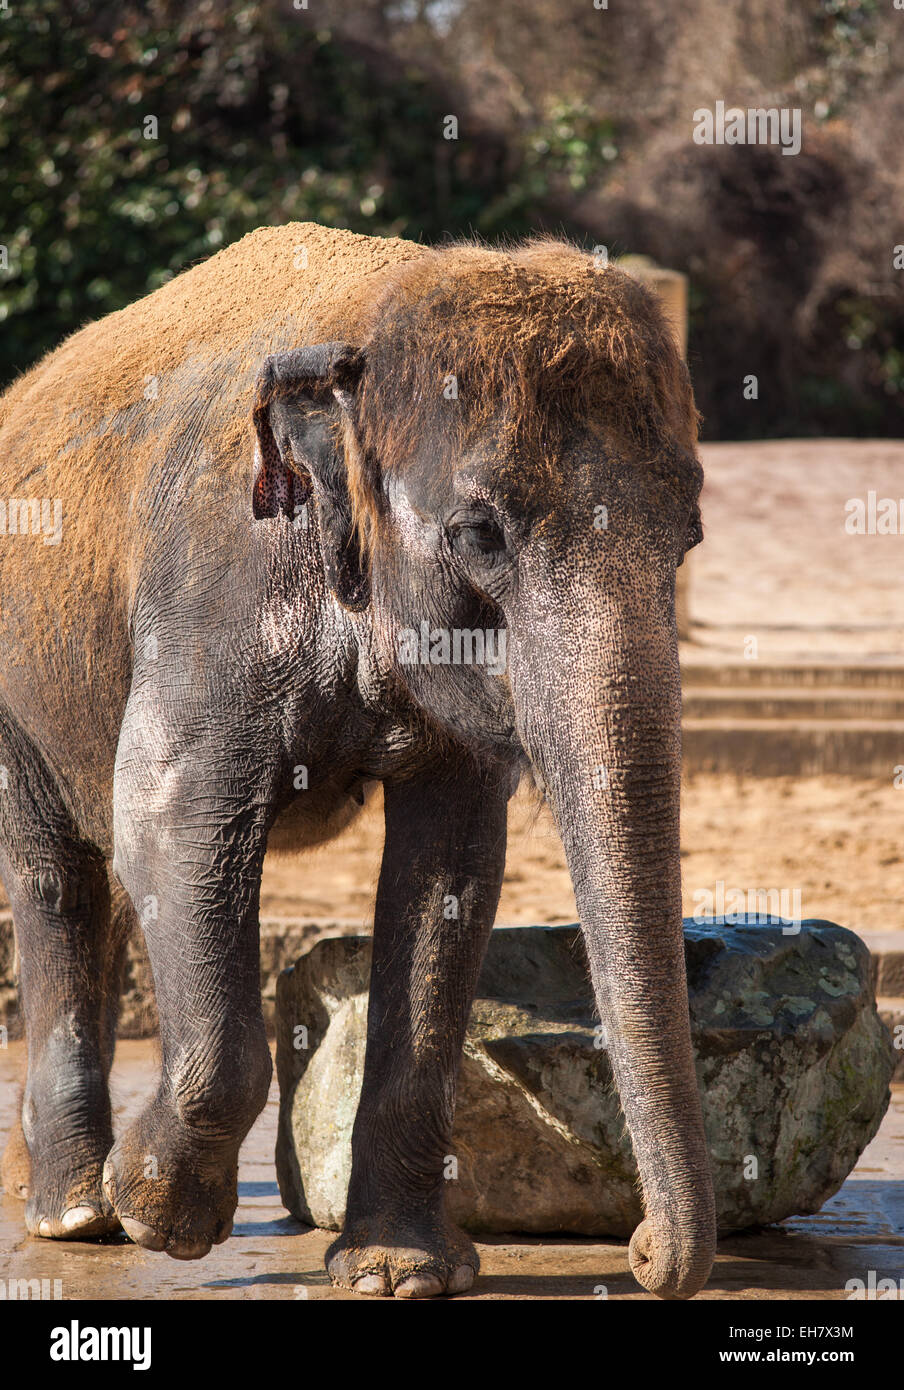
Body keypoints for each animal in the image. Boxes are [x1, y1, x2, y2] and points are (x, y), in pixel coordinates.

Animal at [0, 221, 711, 1298]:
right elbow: (172, 821)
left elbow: (449, 873)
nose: (639, 1252)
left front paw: (396, 1272)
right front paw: (161, 1214)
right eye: (478, 532)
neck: (367, 320)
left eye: (690, 535)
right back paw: (80, 1214)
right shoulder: (215, 585)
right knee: (59, 875)